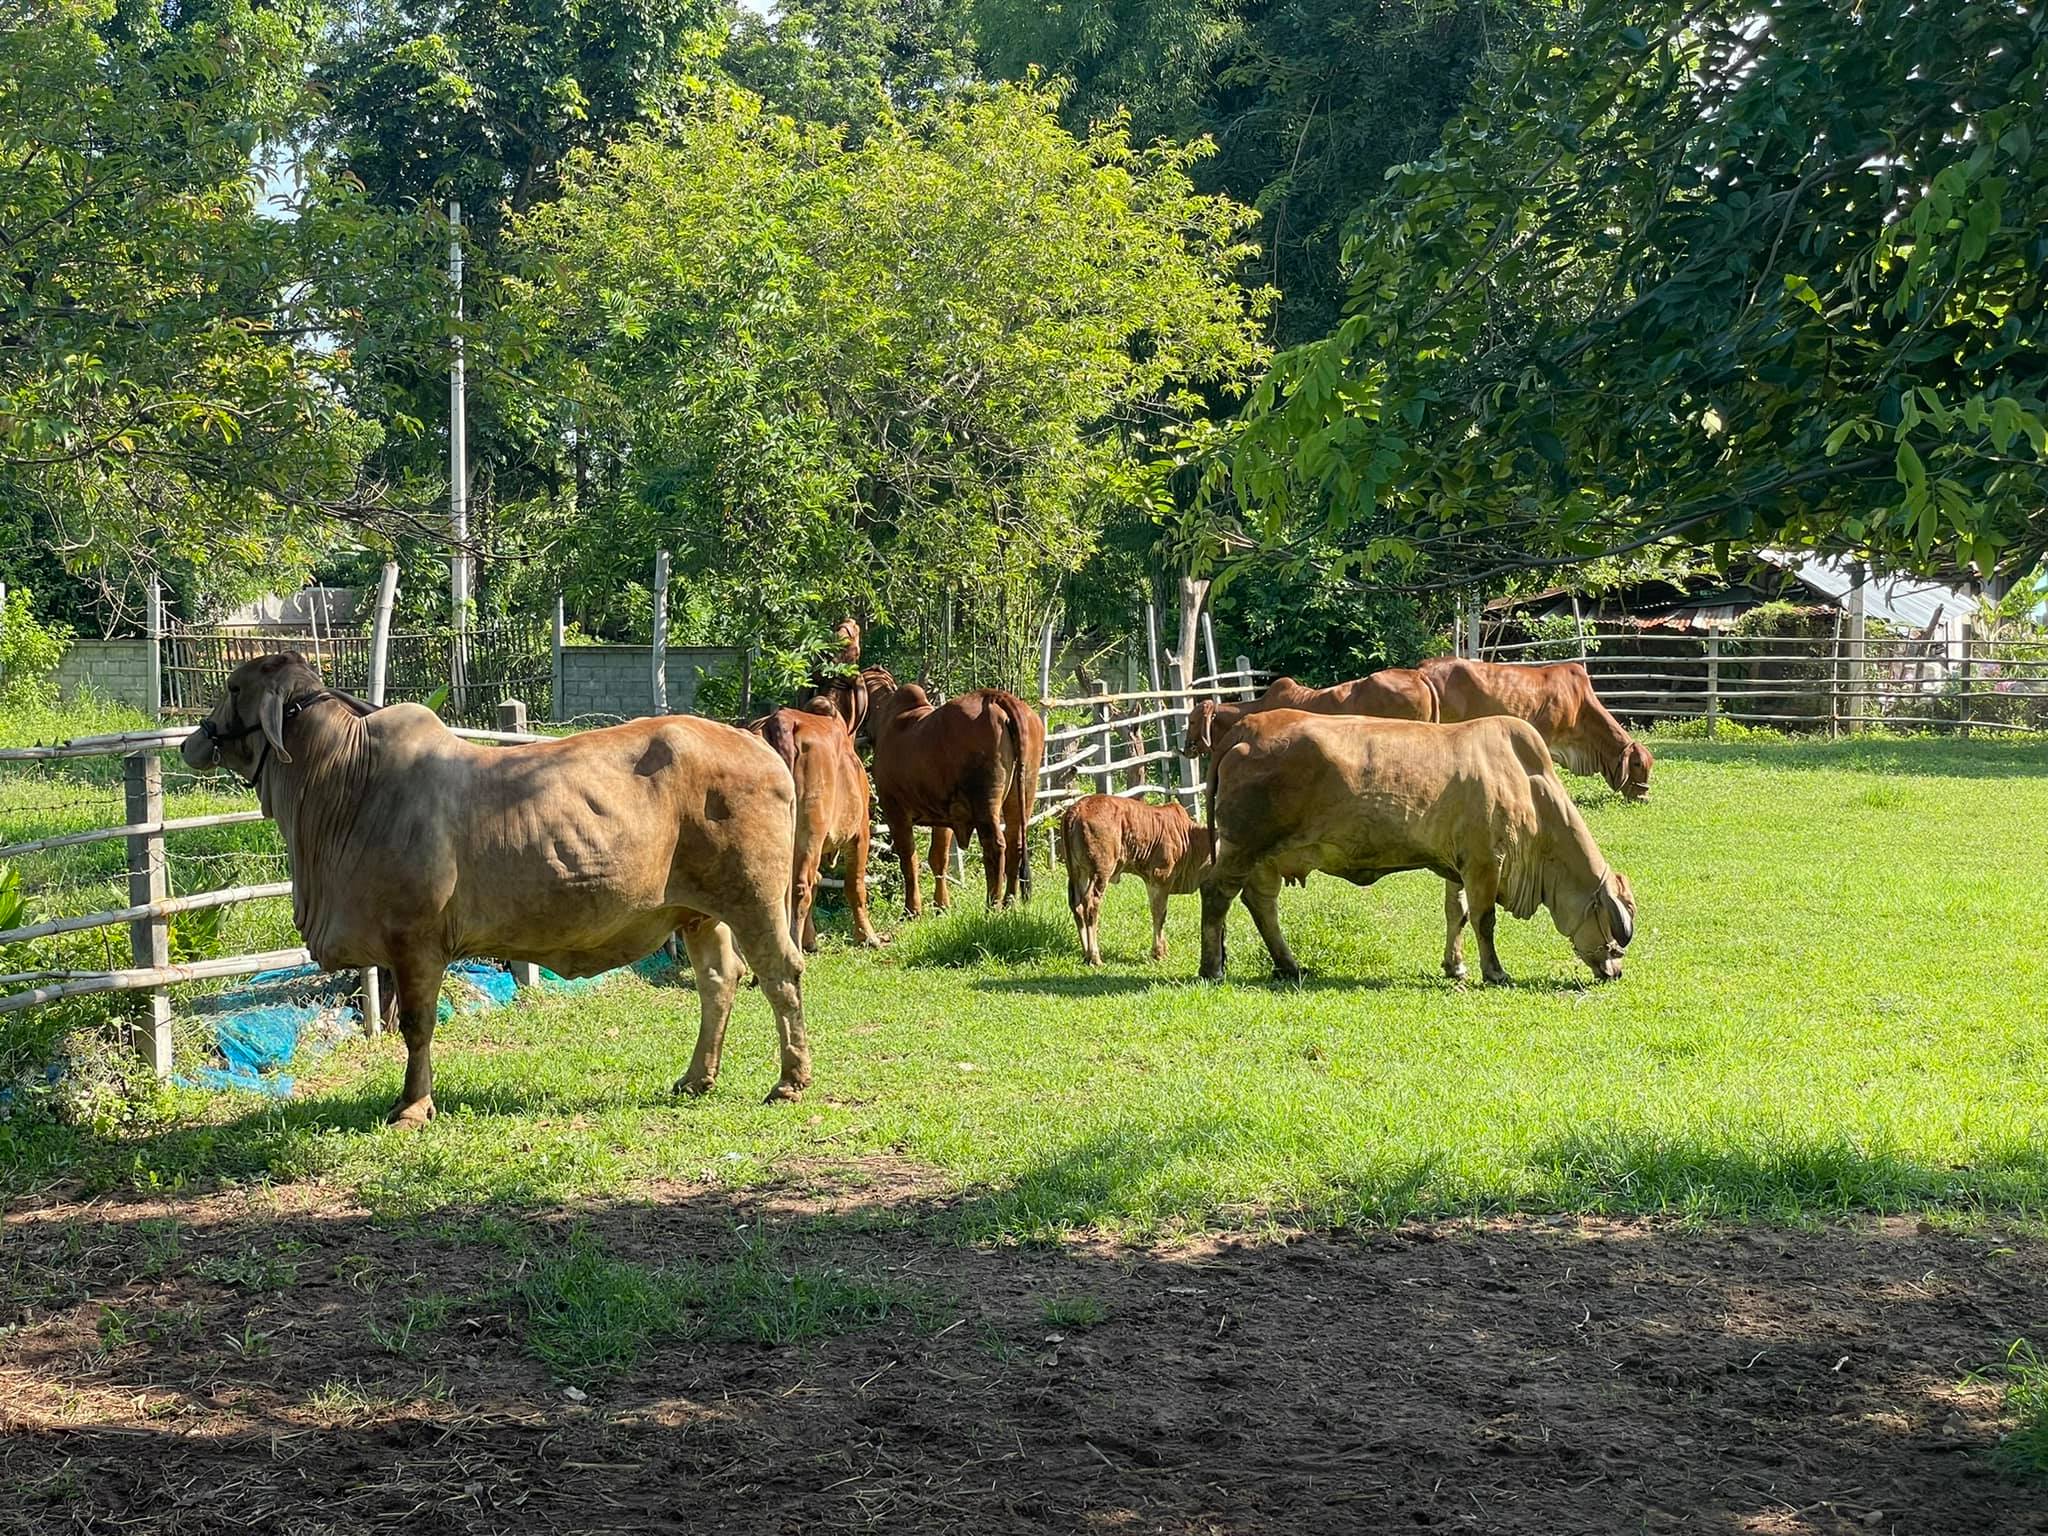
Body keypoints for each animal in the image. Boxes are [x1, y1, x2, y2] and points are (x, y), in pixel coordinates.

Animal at [179, 652, 813, 1124]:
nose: (192, 741)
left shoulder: (416, 943)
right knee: (720, 981)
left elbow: (416, 1027)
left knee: (780, 972)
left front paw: (413, 1106)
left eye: (234, 687)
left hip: (754, 898)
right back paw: (697, 1077)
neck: (344, 781)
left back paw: (790, 1080)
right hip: (697, 910)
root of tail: (755, 744)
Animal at [753, 706, 883, 952]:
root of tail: (781, 720)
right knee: (800, 887)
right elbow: (855, 886)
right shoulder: (860, 833)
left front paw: (810, 940)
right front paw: (868, 937)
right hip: (810, 832)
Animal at [857, 668, 1044, 912]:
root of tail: (995, 697)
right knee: (1016, 842)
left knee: (995, 846)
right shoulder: (943, 815)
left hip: (985, 800)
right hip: (1024, 789)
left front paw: (912, 909)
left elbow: (908, 859)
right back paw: (1009, 901)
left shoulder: (894, 809)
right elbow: (938, 858)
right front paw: (941, 905)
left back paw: (992, 904)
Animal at [1058, 794, 1212, 965]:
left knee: (1077, 905)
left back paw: (1086, 954)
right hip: (1101, 870)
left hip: (1077, 871)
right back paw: (1095, 957)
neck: (1190, 839)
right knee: (1091, 904)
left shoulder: (1152, 880)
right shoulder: (1160, 877)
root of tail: (1077, 808)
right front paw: (1158, 953)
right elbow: (1160, 914)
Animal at [1198, 710, 1636, 987]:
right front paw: (1494, 972)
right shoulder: (1484, 862)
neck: (1528, 786)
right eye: (1613, 927)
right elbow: (1484, 920)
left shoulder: (1458, 867)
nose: (1615, 971)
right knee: (1216, 893)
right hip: (1242, 845)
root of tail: (1246, 727)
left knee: (1261, 904)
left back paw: (1289, 965)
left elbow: (1457, 914)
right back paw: (1212, 968)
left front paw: (1455, 966)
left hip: (1265, 857)